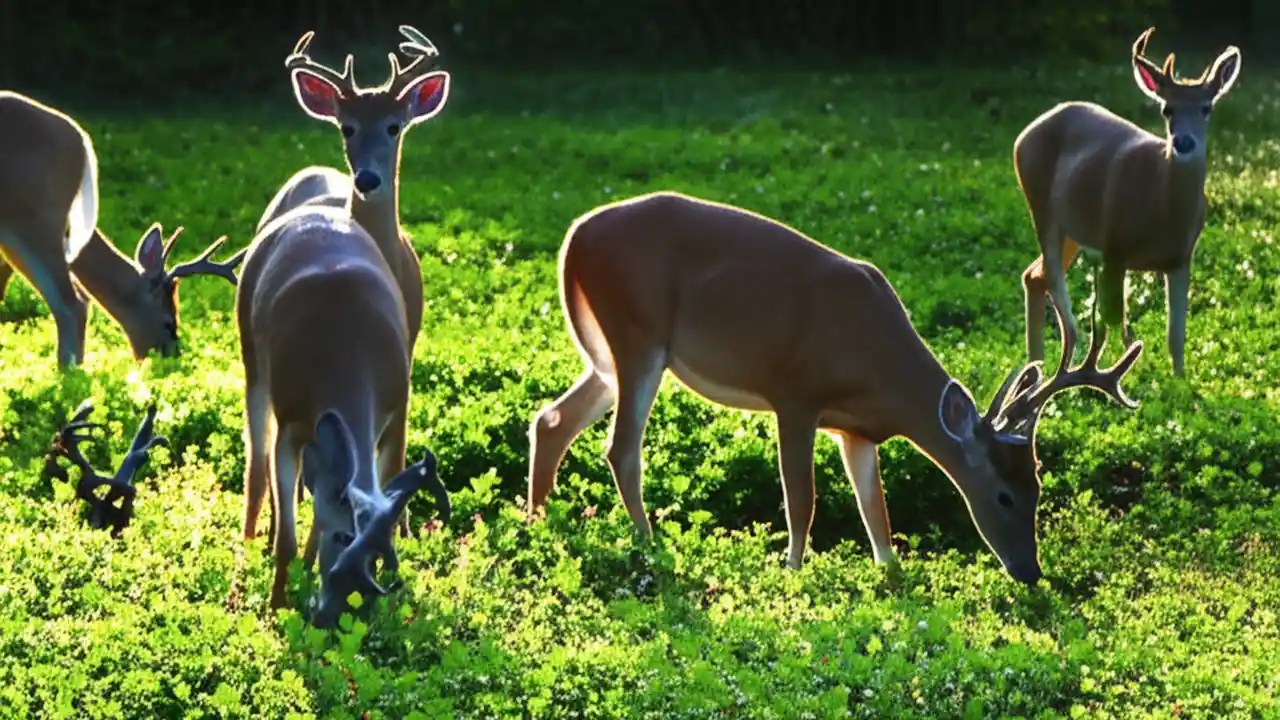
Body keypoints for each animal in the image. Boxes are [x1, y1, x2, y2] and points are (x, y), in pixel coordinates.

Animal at [235, 205, 450, 626]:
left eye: (380, 556)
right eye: (344, 537)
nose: (328, 615)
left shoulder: (396, 414)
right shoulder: (291, 425)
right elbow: (287, 534)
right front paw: (276, 607)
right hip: (252, 359)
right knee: (255, 466)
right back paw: (247, 556)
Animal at [527, 192, 1143, 583]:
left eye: (1038, 487)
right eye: (1003, 495)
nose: (1031, 572)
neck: (875, 366)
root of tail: (574, 235)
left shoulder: (858, 431)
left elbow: (878, 511)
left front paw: (891, 574)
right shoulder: (795, 394)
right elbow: (802, 500)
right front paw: (793, 573)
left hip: (609, 353)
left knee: (551, 419)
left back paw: (535, 525)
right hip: (638, 334)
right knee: (621, 447)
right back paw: (650, 547)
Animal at [1016, 28, 1241, 377]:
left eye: (1207, 107)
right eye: (1167, 109)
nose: (1183, 142)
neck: (1163, 209)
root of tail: (1025, 133)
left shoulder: (1181, 258)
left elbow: (1176, 335)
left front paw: (1180, 381)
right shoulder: (1115, 247)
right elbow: (1116, 326)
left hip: (1074, 228)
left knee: (1034, 276)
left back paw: (1035, 365)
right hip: (1040, 205)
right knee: (1053, 279)